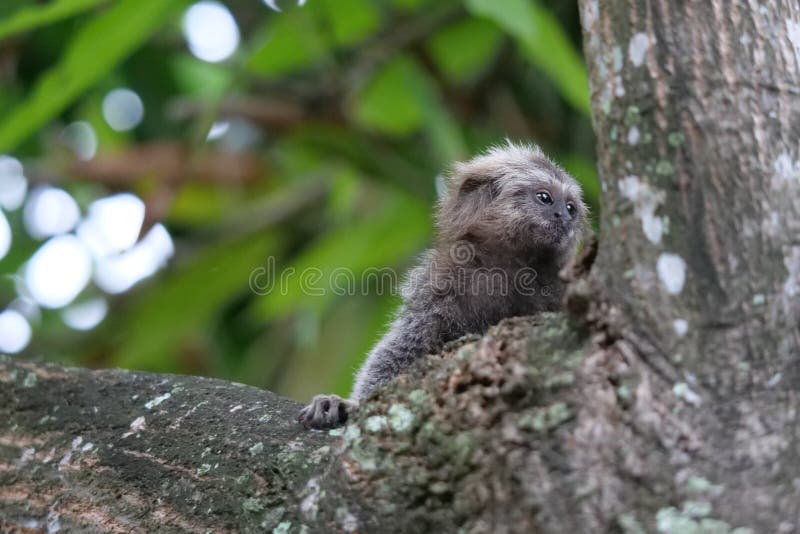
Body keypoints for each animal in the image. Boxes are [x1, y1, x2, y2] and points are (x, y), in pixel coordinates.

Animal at [298, 141, 588, 429]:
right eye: (545, 197)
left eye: (571, 207)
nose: (563, 216)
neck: (511, 270)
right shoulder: (437, 286)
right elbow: (404, 348)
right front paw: (347, 403)